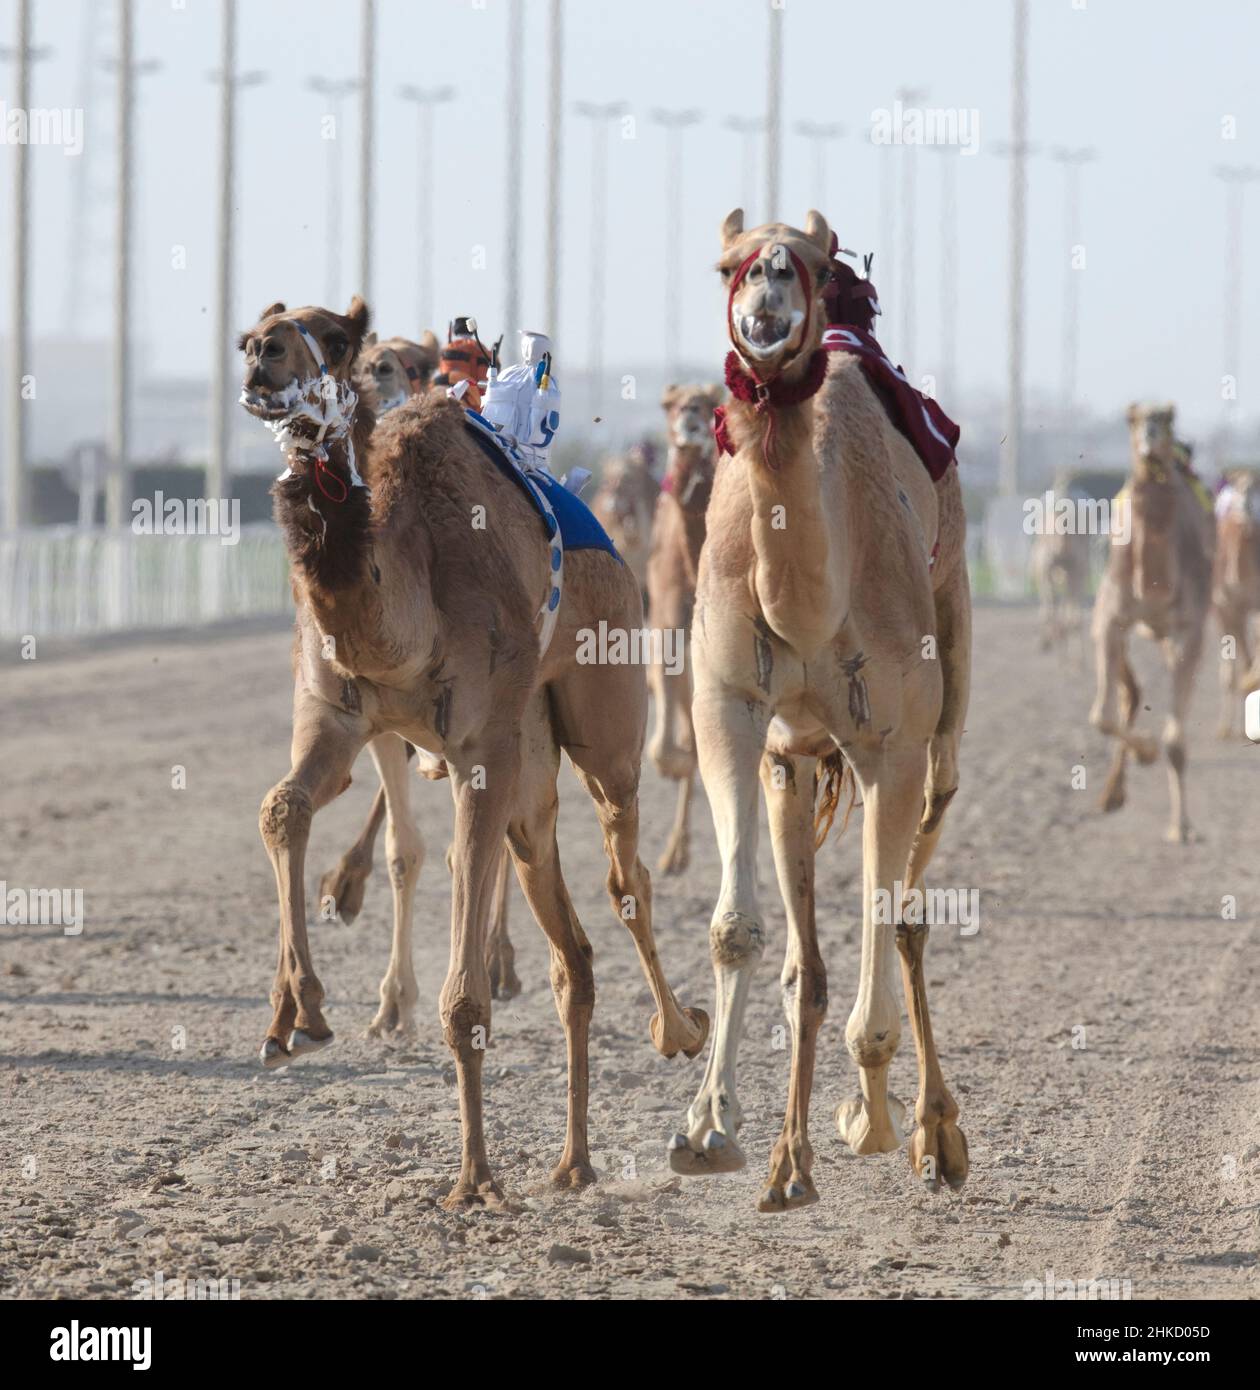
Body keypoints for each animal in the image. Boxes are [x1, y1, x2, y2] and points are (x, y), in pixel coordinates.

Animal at [667, 210, 972, 1211]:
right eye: (725, 262)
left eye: (802, 257)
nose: (768, 278)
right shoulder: (728, 709)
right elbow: (737, 928)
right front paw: (708, 1130)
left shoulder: (894, 741)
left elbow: (885, 911)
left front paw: (876, 1121)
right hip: (790, 757)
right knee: (808, 956)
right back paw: (791, 1159)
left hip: (944, 697)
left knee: (909, 910)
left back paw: (923, 1128)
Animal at [1089, 403, 1214, 841]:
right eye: (1132, 417)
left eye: (1168, 416)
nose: (1150, 433)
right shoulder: (1109, 617)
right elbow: (1102, 716)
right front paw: (1146, 752)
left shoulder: (1190, 630)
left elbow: (1175, 739)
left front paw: (1181, 827)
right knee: (1129, 693)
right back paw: (1112, 793)